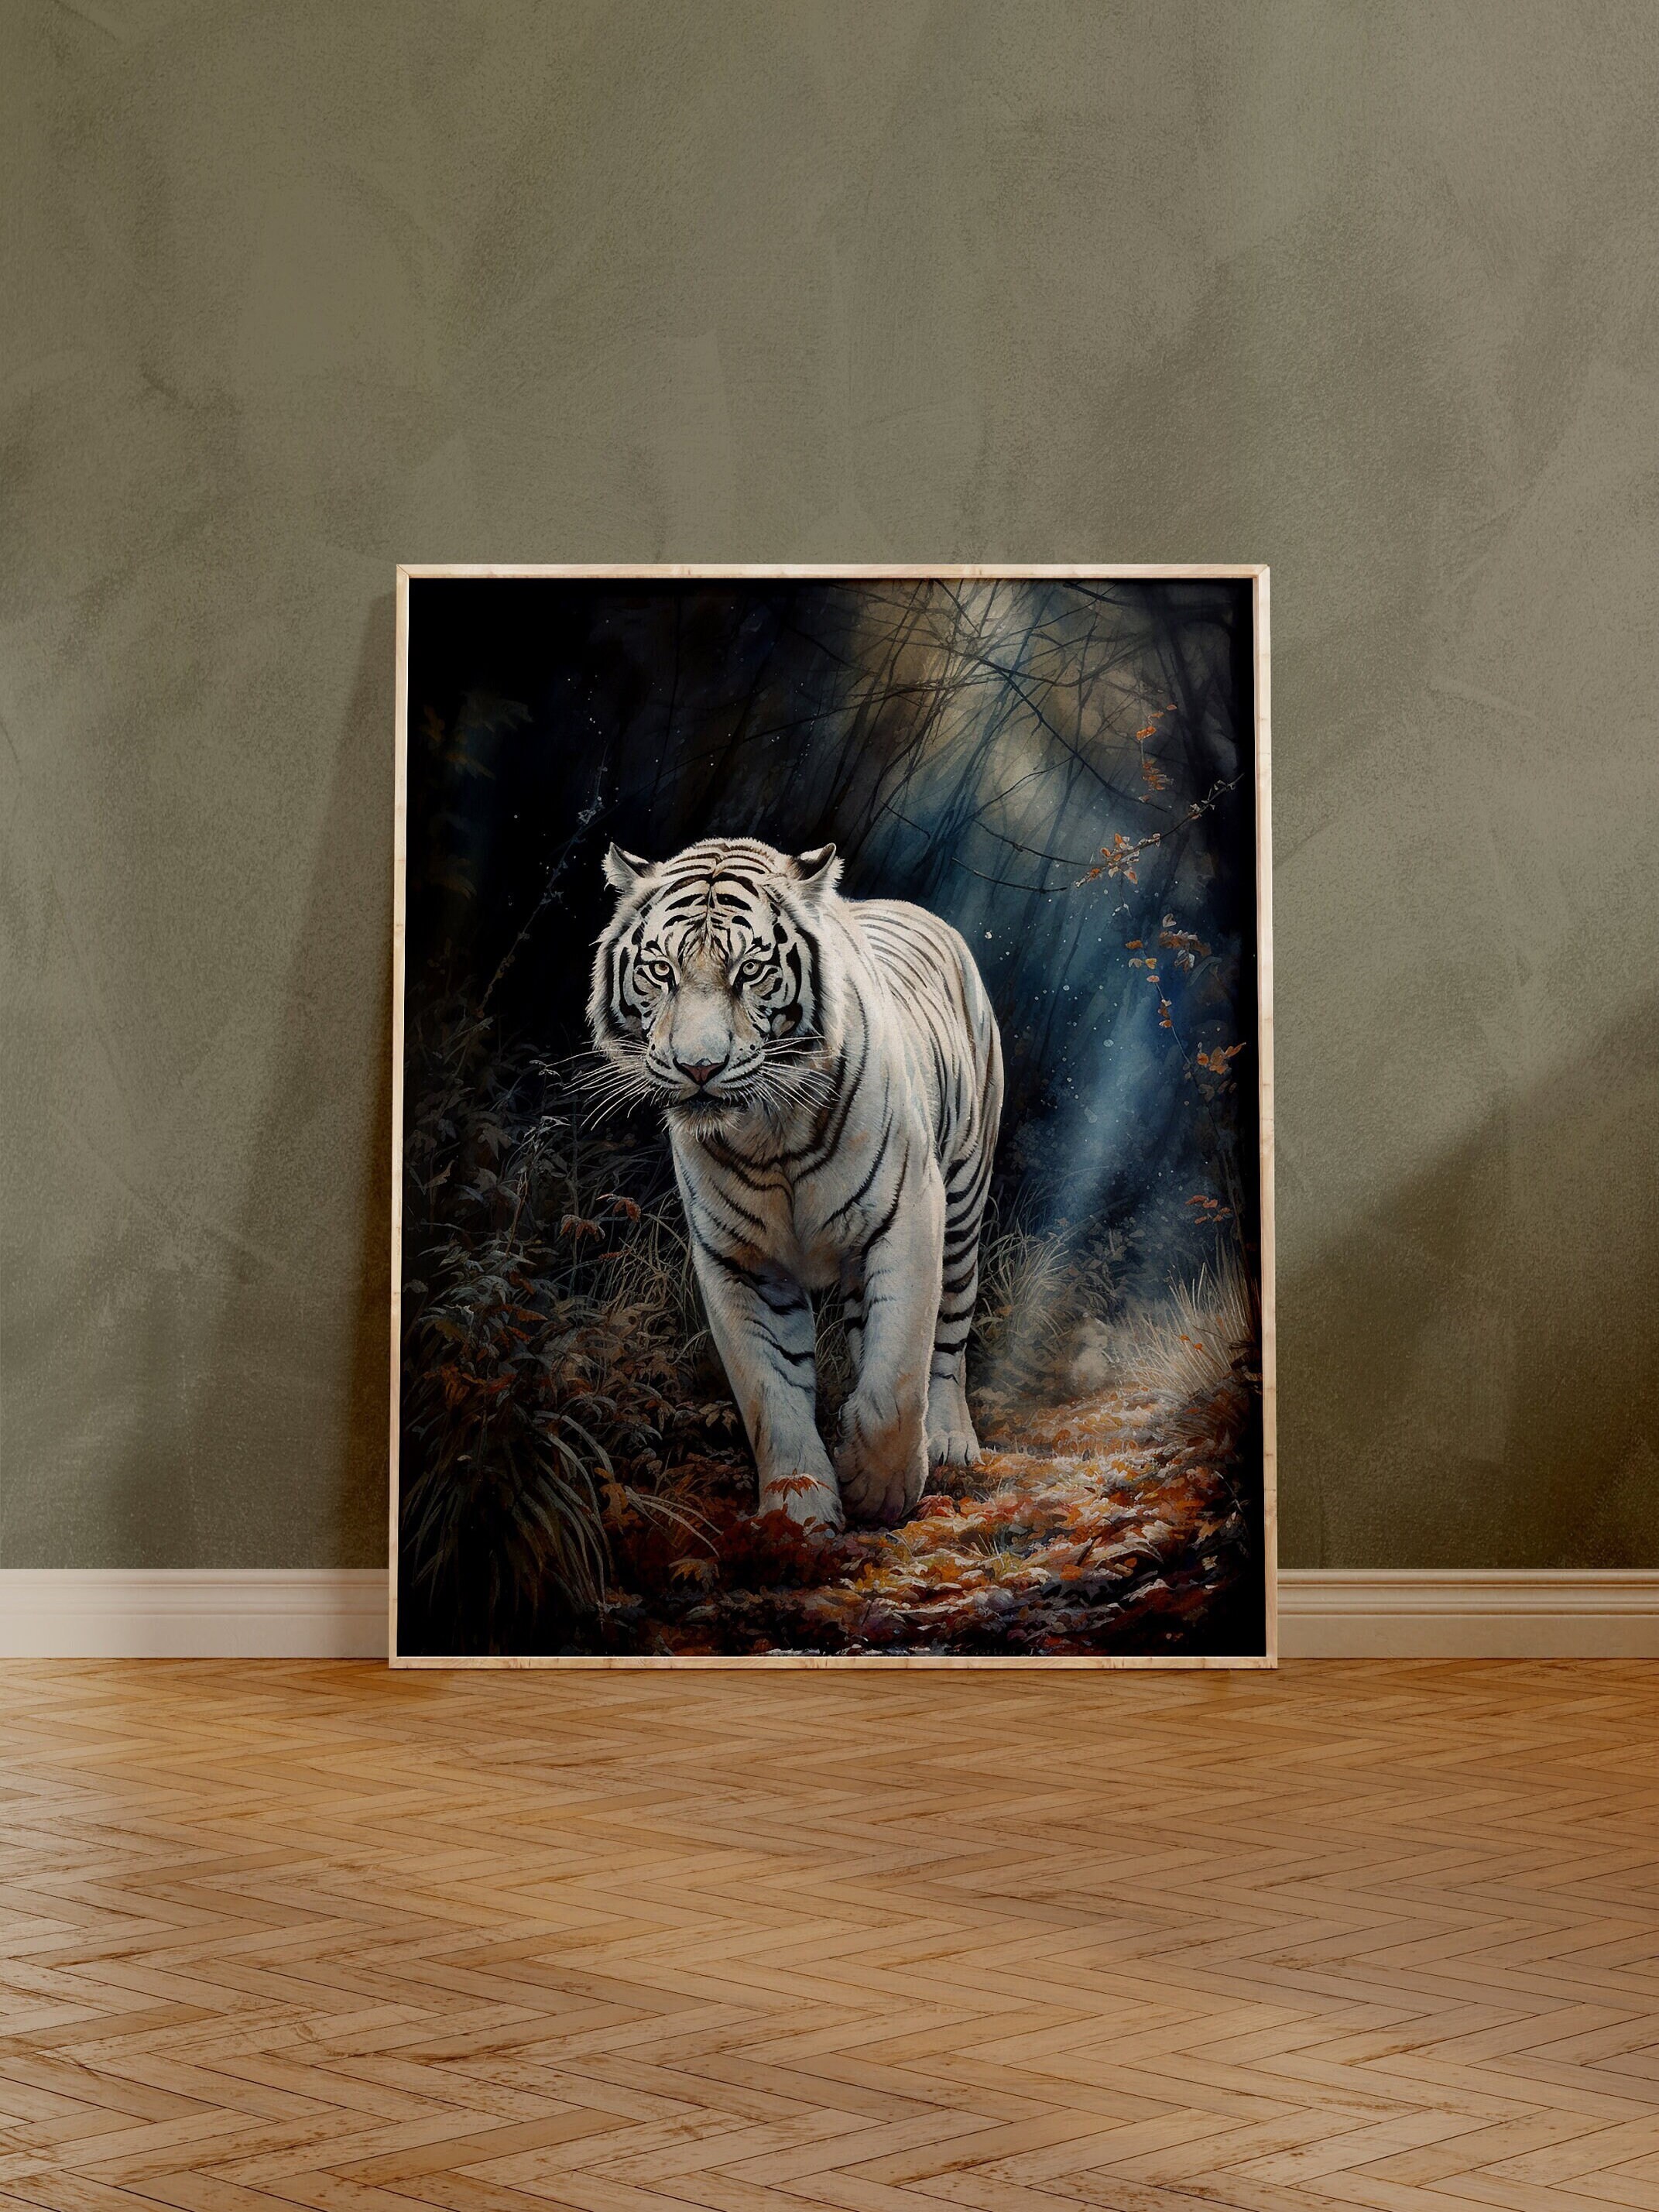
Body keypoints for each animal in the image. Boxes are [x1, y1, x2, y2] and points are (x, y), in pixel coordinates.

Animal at [587, 835, 1003, 1530]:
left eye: (749, 970)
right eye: (661, 971)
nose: (698, 1067)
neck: (768, 1131)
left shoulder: (908, 1219)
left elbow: (898, 1377)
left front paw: (879, 1488)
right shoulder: (740, 1260)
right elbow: (769, 1391)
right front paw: (800, 1511)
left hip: (963, 1204)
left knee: (946, 1338)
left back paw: (947, 1440)